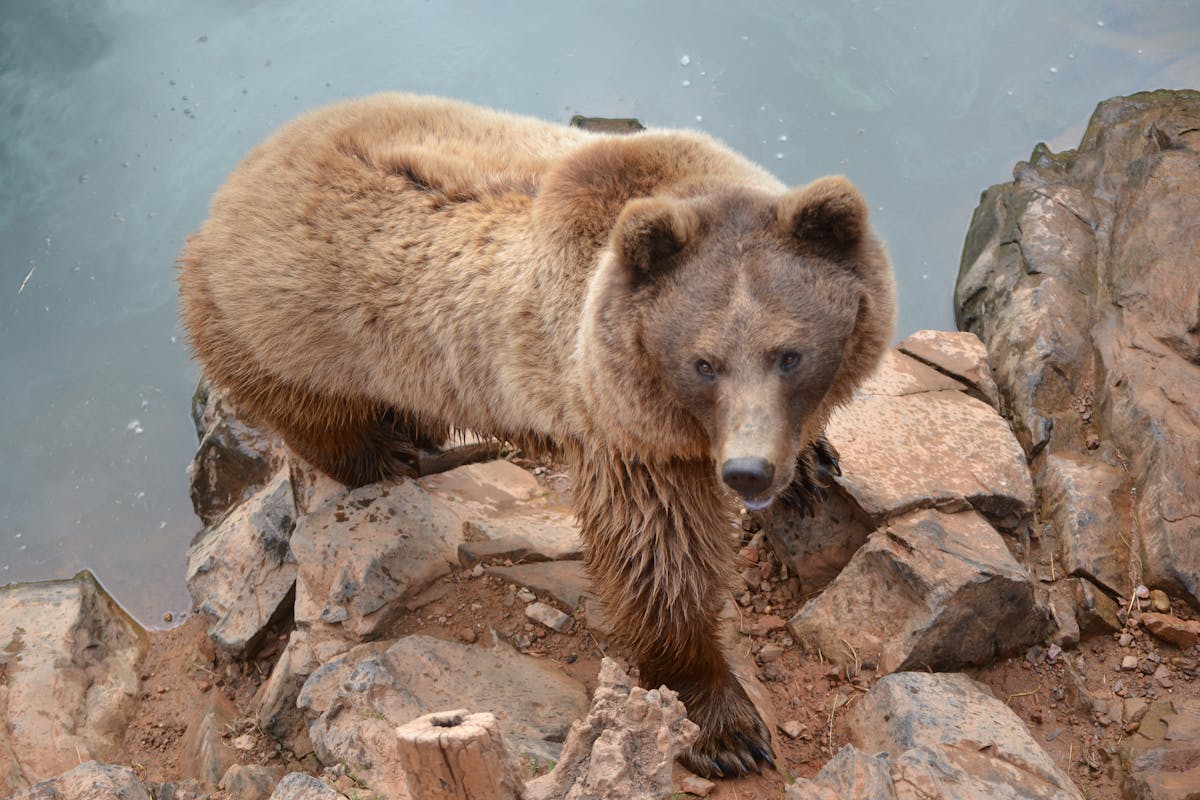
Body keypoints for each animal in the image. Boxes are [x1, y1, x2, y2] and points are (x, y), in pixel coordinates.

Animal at [178, 93, 895, 777]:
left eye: (790, 354)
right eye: (703, 362)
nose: (748, 471)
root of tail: (238, 178)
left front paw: (813, 464)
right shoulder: (618, 426)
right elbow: (659, 558)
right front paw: (724, 727)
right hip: (294, 330)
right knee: (321, 415)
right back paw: (403, 451)